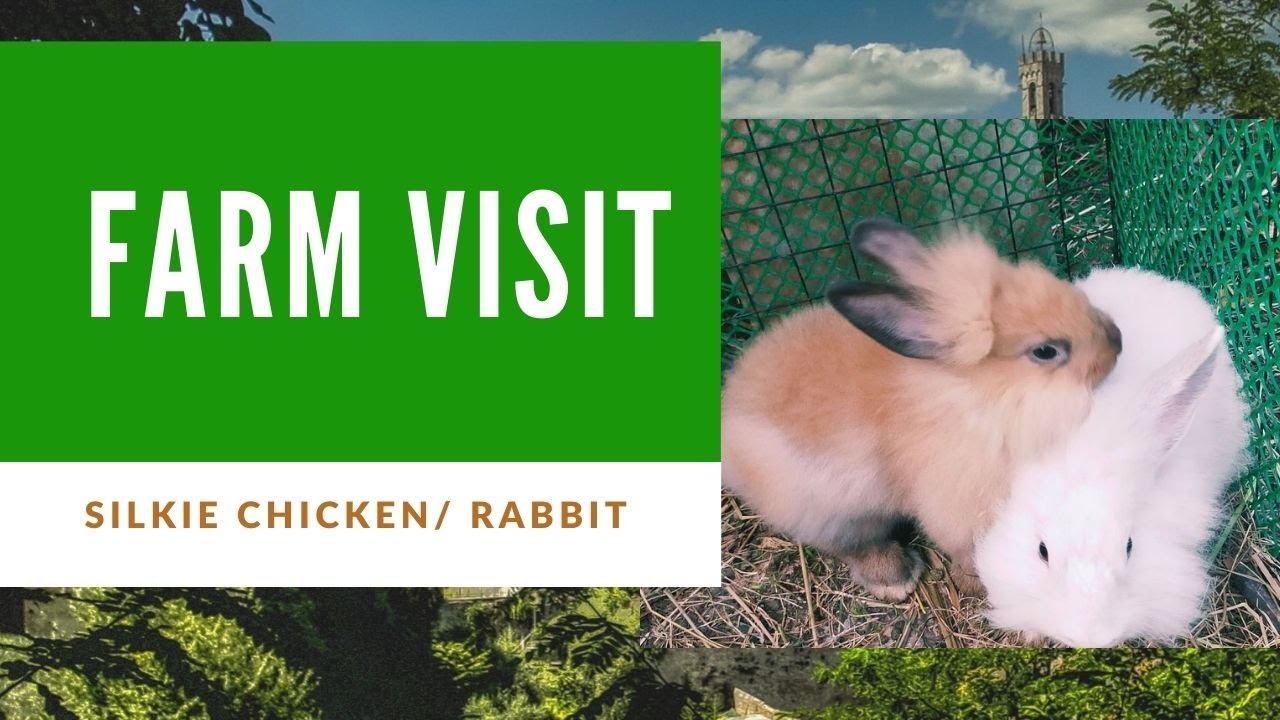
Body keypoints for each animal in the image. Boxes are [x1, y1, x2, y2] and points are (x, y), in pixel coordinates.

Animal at [721, 219, 1123, 600]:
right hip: (832, 510)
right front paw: (974, 583)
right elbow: (965, 547)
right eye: (1045, 351)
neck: (979, 392)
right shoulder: (955, 501)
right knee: (853, 544)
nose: (1117, 341)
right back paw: (895, 578)